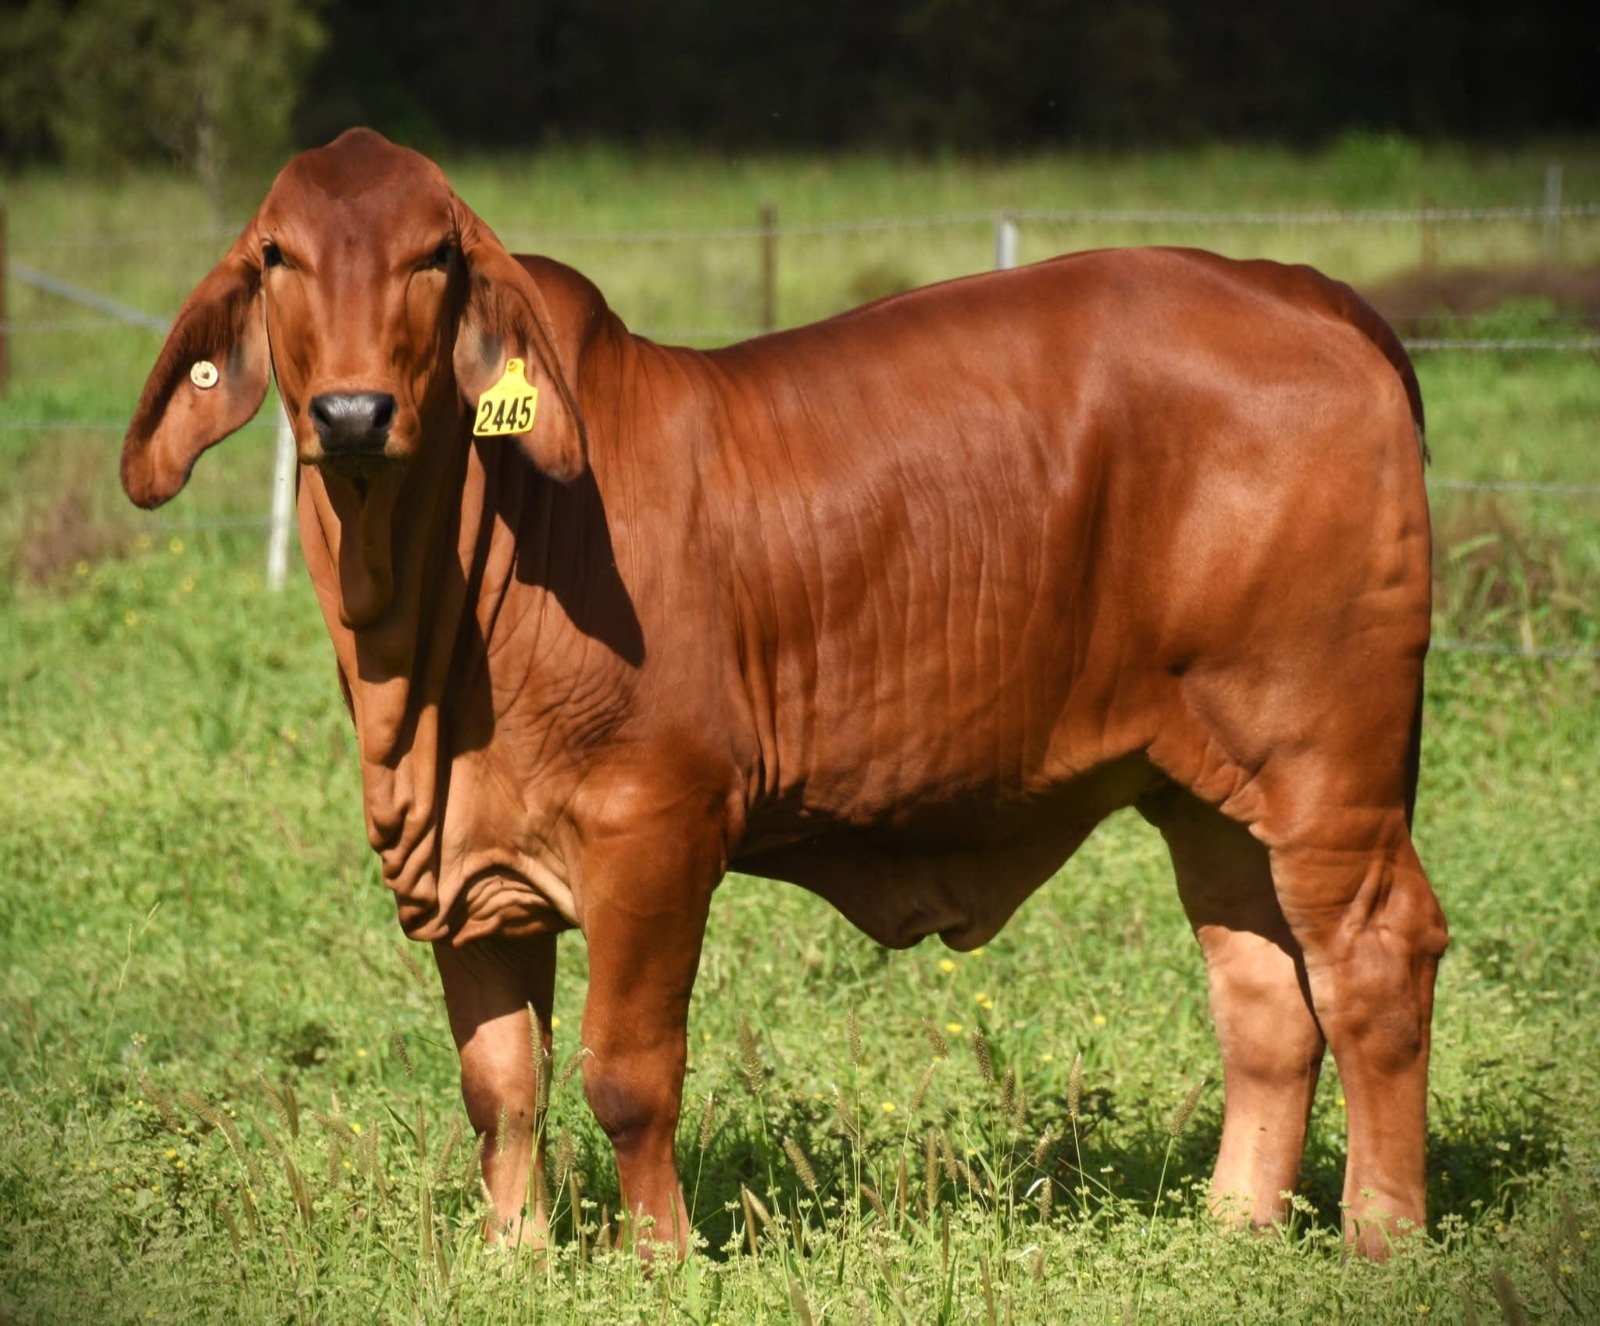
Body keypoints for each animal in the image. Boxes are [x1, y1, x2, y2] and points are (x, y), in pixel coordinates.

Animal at [122, 128, 1447, 1260]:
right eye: (277, 255)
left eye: (433, 256)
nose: (352, 412)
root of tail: (1300, 290)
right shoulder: (472, 875)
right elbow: (500, 1087)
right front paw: (515, 1258)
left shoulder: (655, 833)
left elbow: (625, 1074)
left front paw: (656, 1262)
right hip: (1206, 790)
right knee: (1265, 998)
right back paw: (1234, 1228)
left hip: (1326, 761)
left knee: (1374, 956)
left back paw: (1380, 1236)